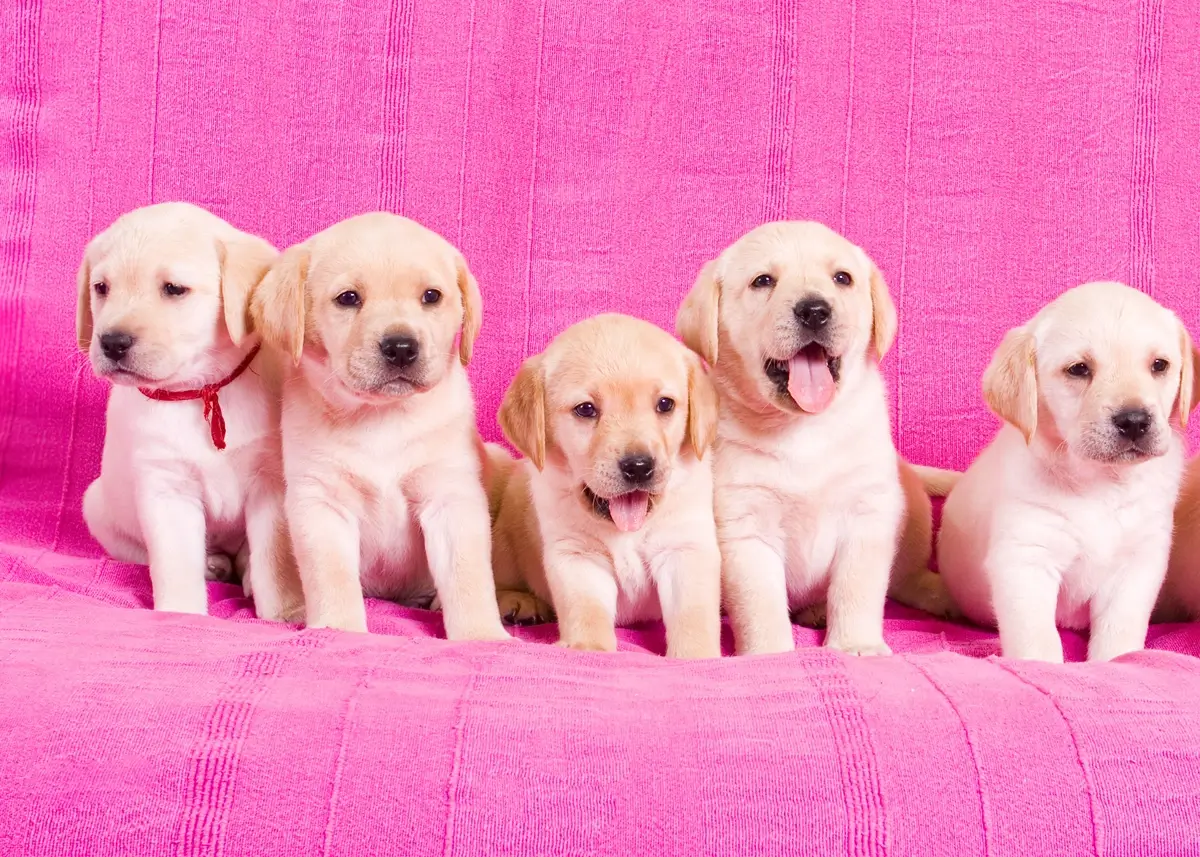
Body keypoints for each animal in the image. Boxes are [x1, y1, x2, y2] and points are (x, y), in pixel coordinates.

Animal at [77, 202, 302, 619]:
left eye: (173, 289)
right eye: (102, 288)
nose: (112, 342)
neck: (200, 392)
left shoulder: (270, 483)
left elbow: (274, 559)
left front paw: (286, 611)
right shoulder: (167, 487)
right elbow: (175, 562)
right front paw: (180, 614)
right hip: (97, 506)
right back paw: (212, 564)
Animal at [253, 212, 511, 643]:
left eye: (431, 296)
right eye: (348, 298)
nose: (401, 347)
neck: (381, 418)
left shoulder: (451, 496)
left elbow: (468, 576)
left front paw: (481, 635)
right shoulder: (321, 501)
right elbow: (331, 575)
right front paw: (338, 627)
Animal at [489, 314, 715, 652]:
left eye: (665, 404)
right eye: (586, 409)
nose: (639, 467)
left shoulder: (685, 548)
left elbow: (694, 616)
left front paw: (697, 655)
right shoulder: (576, 556)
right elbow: (586, 610)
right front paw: (587, 648)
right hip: (506, 535)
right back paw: (518, 602)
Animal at [676, 220, 945, 652]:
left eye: (842, 278)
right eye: (763, 281)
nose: (815, 310)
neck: (803, 429)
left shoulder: (868, 513)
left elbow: (857, 588)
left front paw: (856, 643)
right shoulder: (744, 526)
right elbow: (759, 602)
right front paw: (770, 651)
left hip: (914, 510)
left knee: (907, 576)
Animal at [936, 282, 1200, 662]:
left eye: (1159, 365)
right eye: (1078, 369)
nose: (1135, 421)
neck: (1102, 482)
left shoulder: (1138, 565)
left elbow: (1120, 632)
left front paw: (1118, 661)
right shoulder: (1025, 559)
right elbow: (1036, 639)